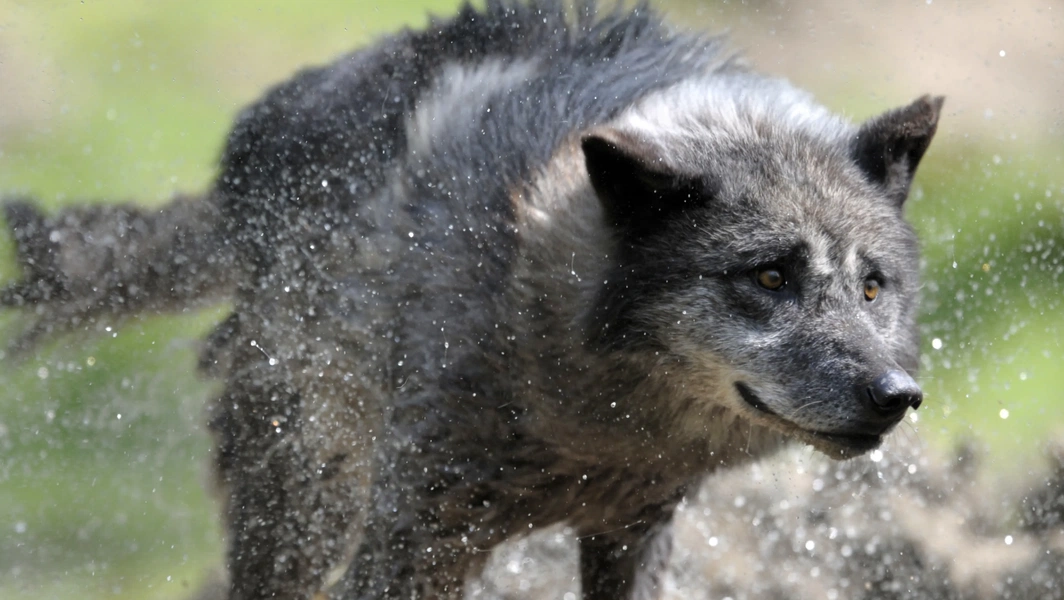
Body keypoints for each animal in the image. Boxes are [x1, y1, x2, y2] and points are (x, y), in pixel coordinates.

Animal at [1, 1, 942, 598]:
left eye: (872, 286)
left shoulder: (633, 528)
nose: (897, 398)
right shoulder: (413, 540)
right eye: (771, 277)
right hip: (303, 501)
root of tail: (242, 158)